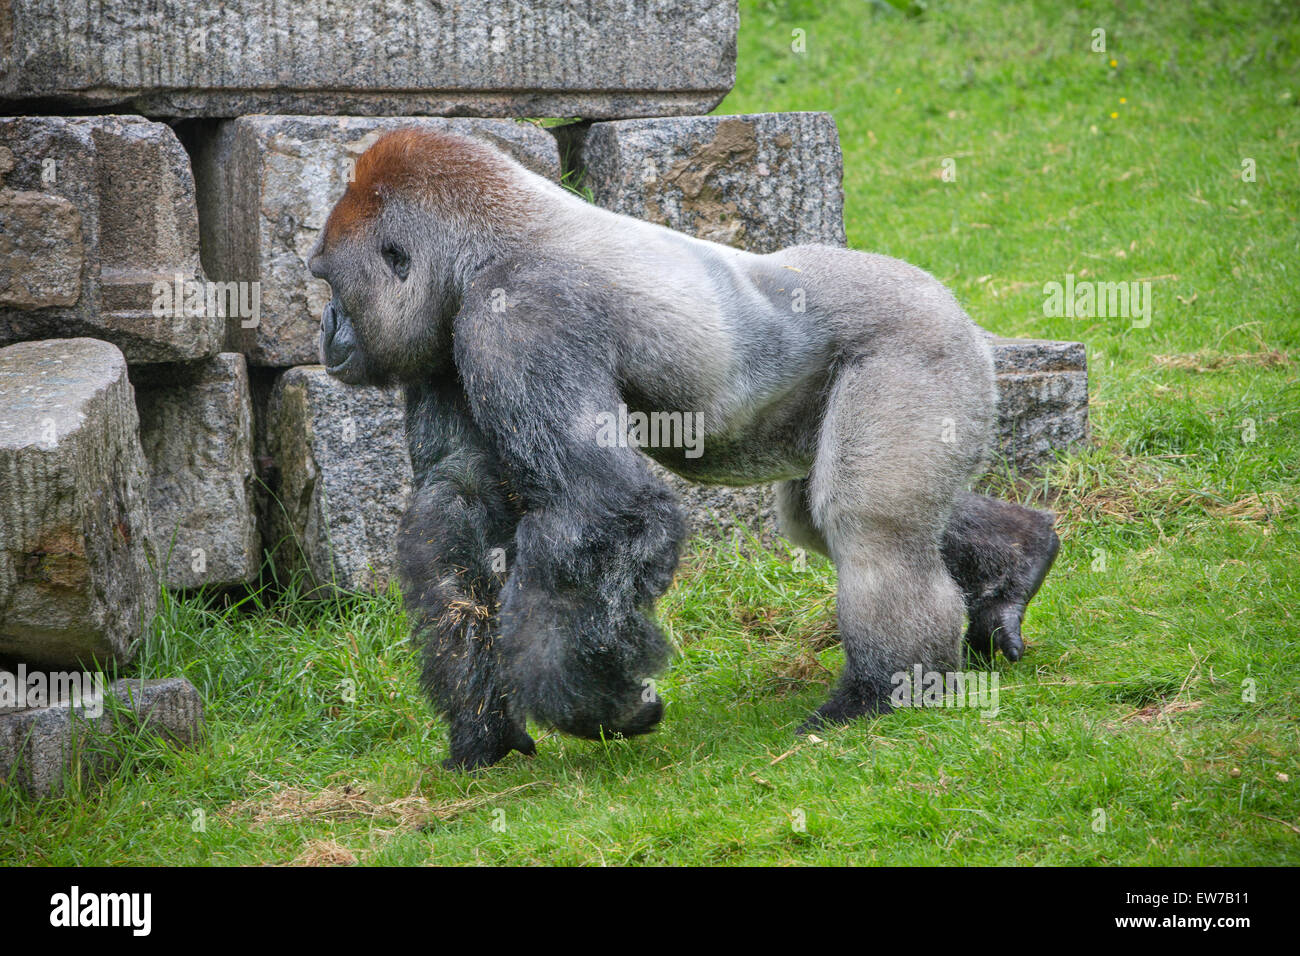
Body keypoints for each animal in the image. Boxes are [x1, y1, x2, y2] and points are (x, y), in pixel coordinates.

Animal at [308, 128, 1060, 770]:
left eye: (327, 281)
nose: (325, 329)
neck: (483, 245)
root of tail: (960, 311)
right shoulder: (441, 343)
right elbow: (457, 504)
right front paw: (482, 728)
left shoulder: (519, 315)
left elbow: (604, 507)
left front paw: (594, 704)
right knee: (825, 515)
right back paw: (1017, 564)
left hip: (923, 343)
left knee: (869, 523)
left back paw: (884, 691)